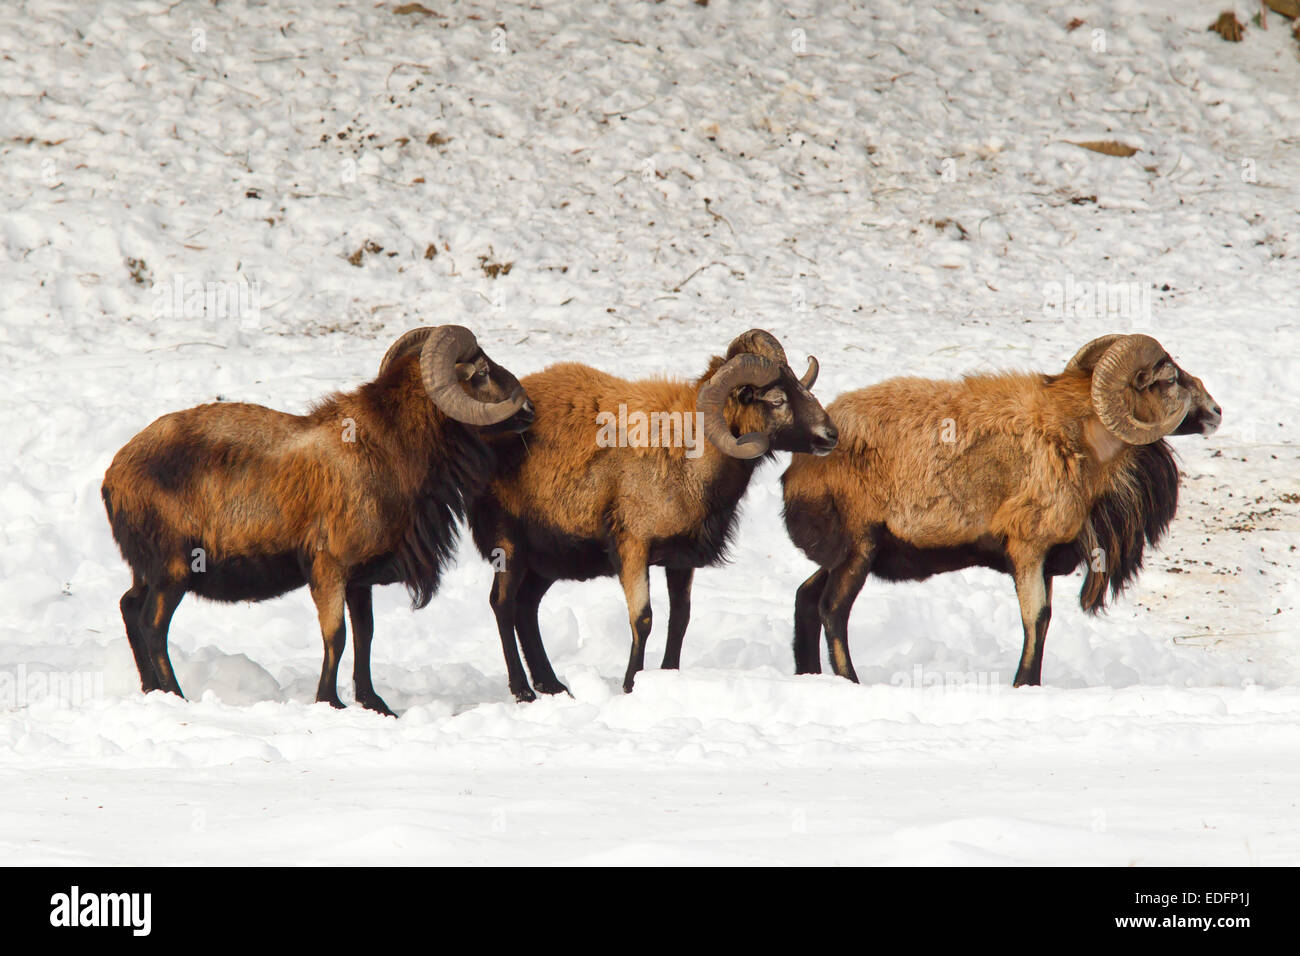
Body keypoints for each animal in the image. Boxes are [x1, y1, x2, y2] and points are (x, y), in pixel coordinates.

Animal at [101, 325, 534, 715]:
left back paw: (150, 689)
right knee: (152, 625)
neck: (390, 447)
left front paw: (374, 703)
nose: (529, 409)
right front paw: (331, 701)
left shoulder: (360, 579)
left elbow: (365, 635)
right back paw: (176, 695)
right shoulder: (329, 567)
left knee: (128, 607)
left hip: (147, 569)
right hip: (173, 568)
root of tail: (114, 475)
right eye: (481, 371)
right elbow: (336, 636)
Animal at [467, 329, 839, 700]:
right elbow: (642, 619)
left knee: (526, 606)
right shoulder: (633, 546)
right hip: (510, 542)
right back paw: (523, 691)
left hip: (550, 556)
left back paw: (552, 685)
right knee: (502, 604)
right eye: (777, 400)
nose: (831, 435)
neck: (686, 455)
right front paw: (631, 684)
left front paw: (667, 674)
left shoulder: (680, 559)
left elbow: (680, 619)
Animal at [781, 333, 1222, 686]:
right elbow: (1036, 619)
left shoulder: (1045, 559)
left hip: (849, 554)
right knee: (832, 610)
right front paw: (1023, 684)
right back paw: (850, 681)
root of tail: (800, 465)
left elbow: (1044, 621)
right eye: (1169, 379)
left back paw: (809, 674)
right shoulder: (1027, 547)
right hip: (859, 546)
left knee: (805, 597)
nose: (1215, 412)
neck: (1080, 437)